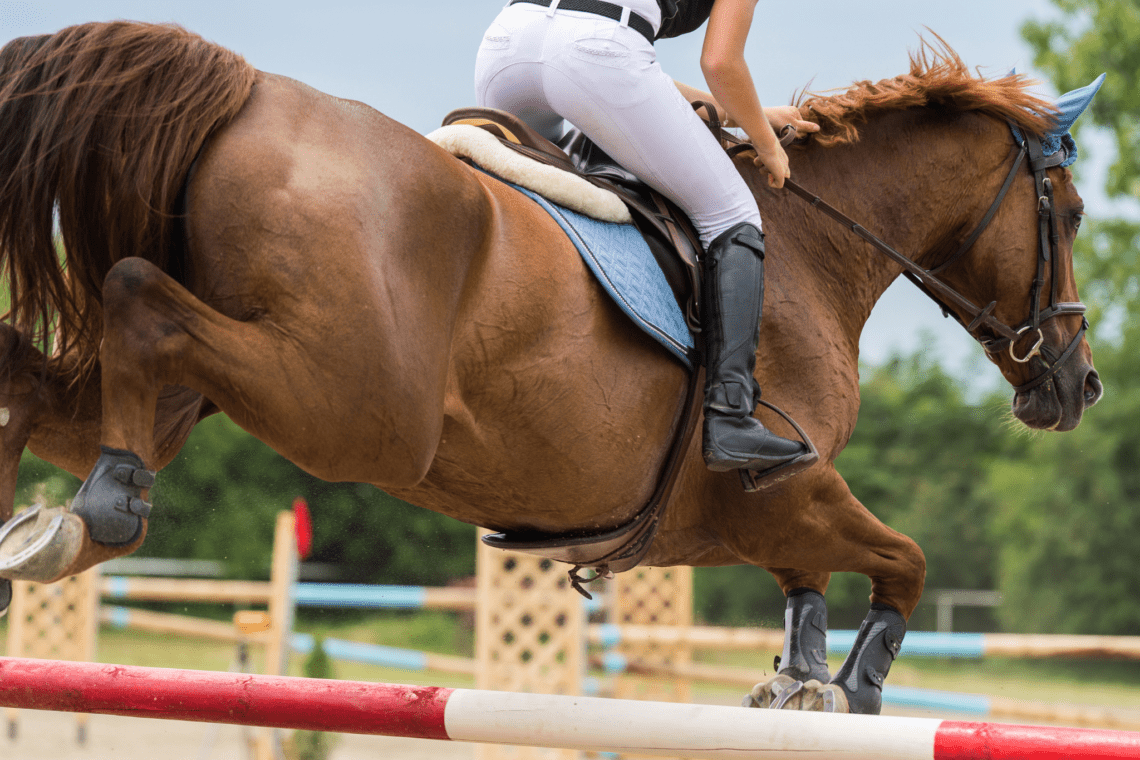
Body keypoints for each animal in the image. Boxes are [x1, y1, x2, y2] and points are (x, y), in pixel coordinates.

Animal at [0, 22, 1102, 714]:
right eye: (1077, 213)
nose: (1079, 383)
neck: (811, 244)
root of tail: (246, 91)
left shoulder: (766, 514)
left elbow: (822, 577)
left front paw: (800, 678)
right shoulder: (777, 488)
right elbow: (905, 559)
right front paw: (860, 683)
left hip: (211, 399)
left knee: (32, 377)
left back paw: (47, 524)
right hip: (351, 410)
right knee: (137, 305)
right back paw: (100, 511)